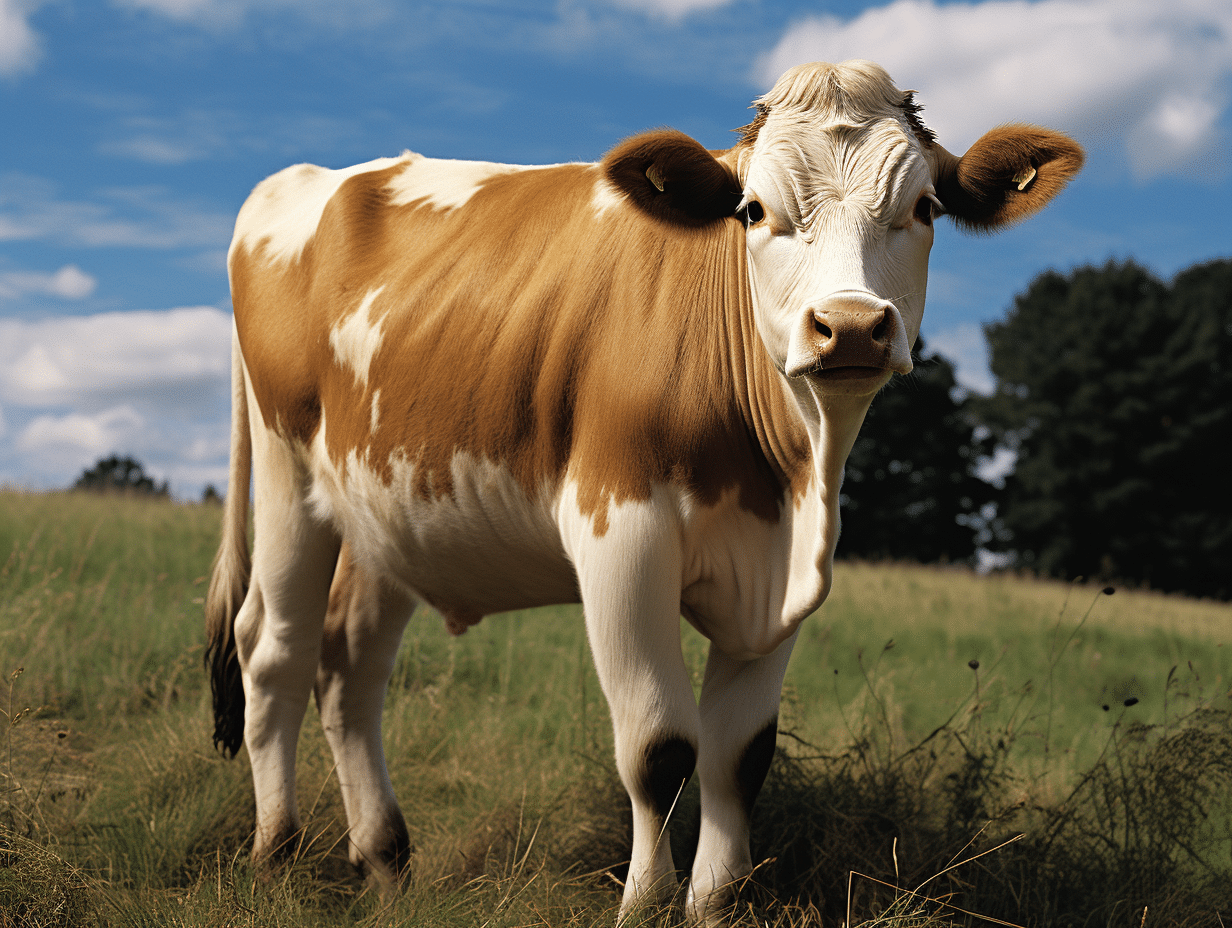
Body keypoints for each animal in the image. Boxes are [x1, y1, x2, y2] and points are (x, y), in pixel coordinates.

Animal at [206, 59, 1082, 923]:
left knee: (348, 663)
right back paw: (277, 855)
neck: (788, 480)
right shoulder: (622, 535)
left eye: (924, 208)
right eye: (753, 210)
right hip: (289, 477)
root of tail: (309, 179)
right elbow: (661, 748)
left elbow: (740, 755)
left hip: (385, 512)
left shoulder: (781, 571)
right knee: (275, 652)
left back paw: (385, 860)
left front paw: (716, 903)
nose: (852, 326)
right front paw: (645, 904)